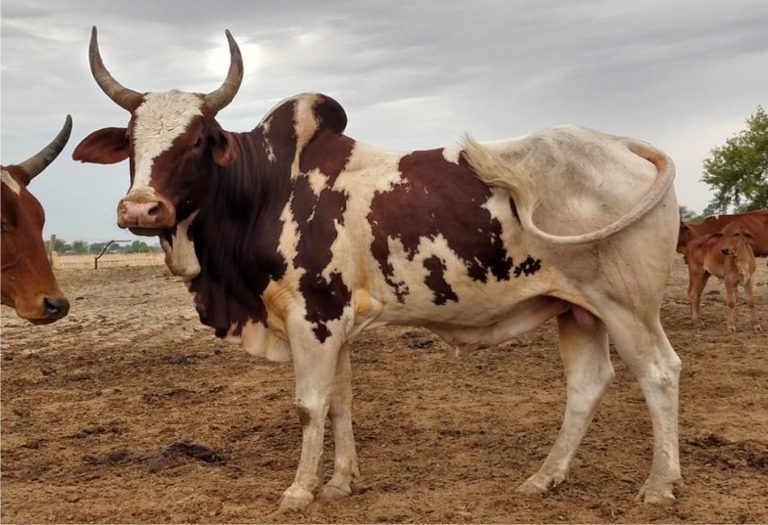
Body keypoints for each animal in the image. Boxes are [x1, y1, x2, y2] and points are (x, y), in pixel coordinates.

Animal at [73, 27, 682, 511]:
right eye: (130, 138)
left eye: (199, 138)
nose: (140, 209)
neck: (267, 190)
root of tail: (620, 143)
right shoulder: (336, 324)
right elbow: (341, 401)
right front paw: (341, 482)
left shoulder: (313, 319)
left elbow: (309, 406)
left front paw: (299, 491)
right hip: (579, 311)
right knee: (587, 384)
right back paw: (544, 478)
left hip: (627, 307)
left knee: (659, 373)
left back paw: (659, 486)